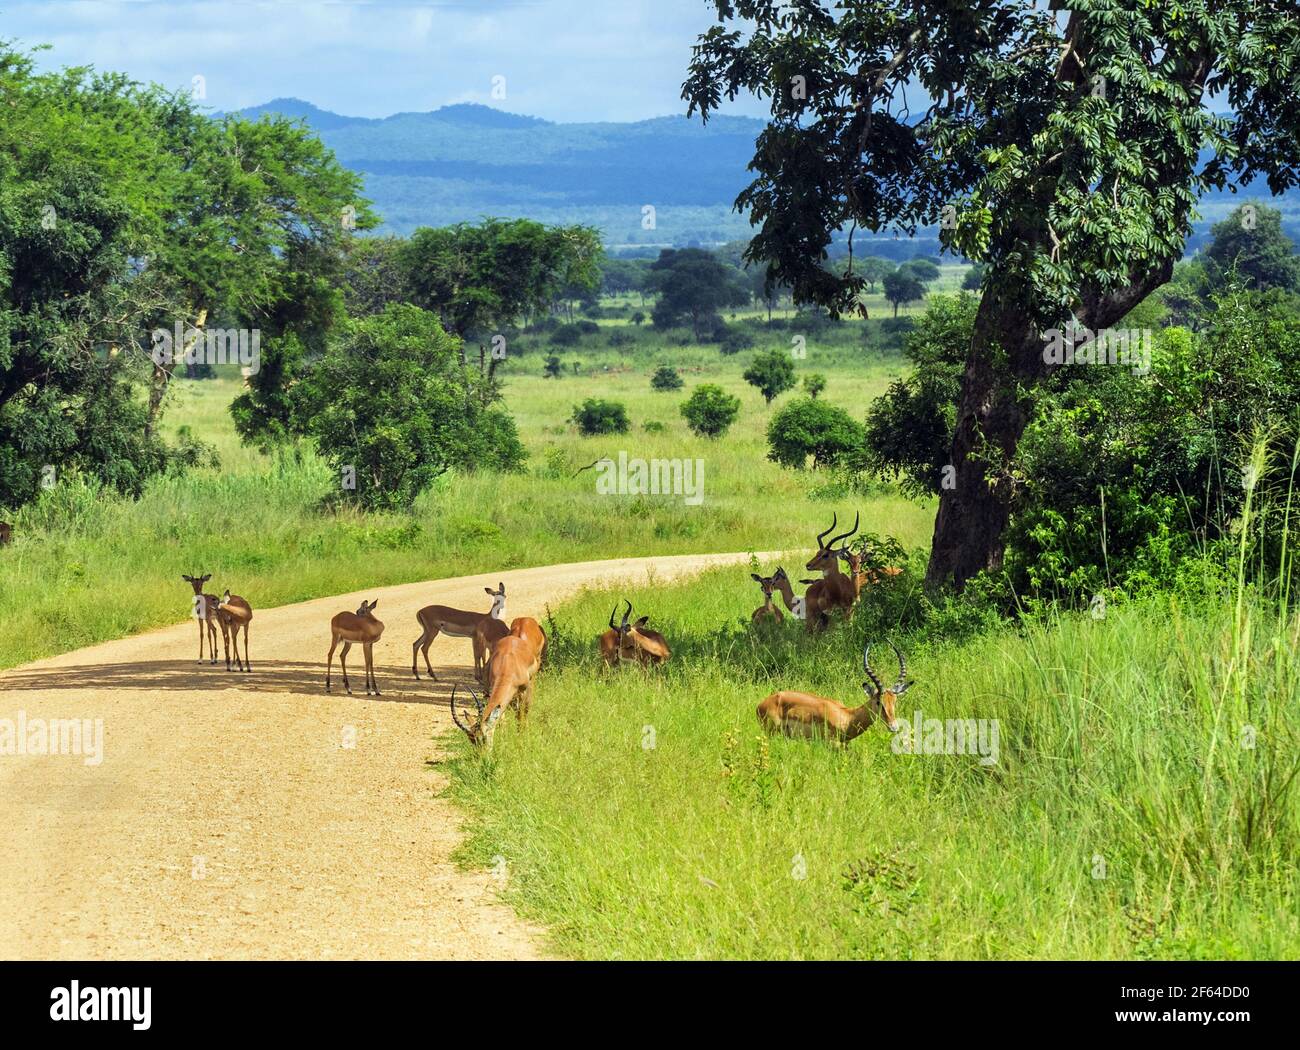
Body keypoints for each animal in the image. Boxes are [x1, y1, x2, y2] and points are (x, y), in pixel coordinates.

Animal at [450, 616, 546, 747]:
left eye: (483, 737)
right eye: (472, 740)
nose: (483, 753)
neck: (508, 663)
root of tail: (526, 619)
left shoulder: (522, 691)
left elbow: (520, 715)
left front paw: (521, 738)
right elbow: (501, 718)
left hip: (532, 679)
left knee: (526, 708)